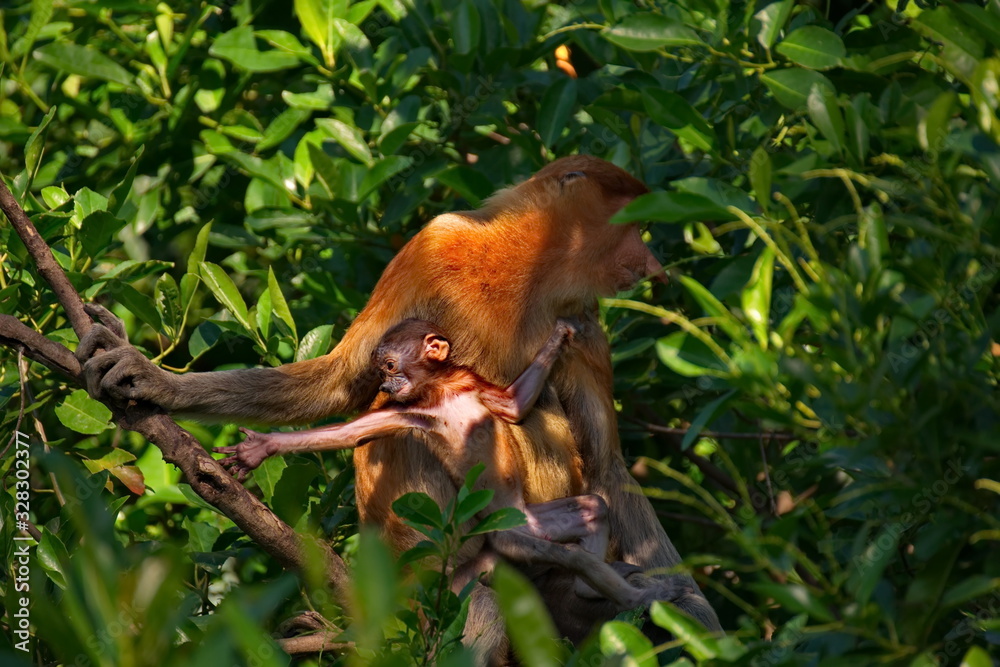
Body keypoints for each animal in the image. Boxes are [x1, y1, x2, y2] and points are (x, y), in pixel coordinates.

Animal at [215, 317, 691, 614]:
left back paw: (588, 587)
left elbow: (513, 407)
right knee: (567, 553)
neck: (442, 392)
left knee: (593, 508)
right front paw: (262, 449)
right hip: (512, 538)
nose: (387, 382)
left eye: (389, 365)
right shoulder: (408, 412)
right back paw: (619, 591)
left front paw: (558, 338)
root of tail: (516, 521)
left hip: (535, 521)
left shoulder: (467, 380)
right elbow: (352, 434)